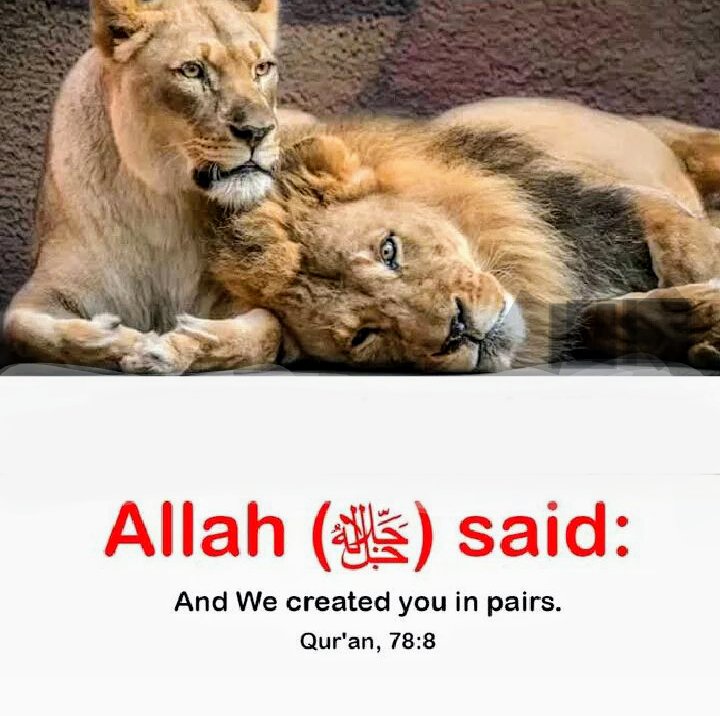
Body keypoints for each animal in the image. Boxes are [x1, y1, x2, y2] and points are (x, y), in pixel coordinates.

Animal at [3, 0, 306, 374]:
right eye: (192, 70)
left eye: (262, 68)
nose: (258, 131)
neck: (162, 199)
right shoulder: (39, 293)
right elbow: (25, 330)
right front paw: (120, 339)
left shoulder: (247, 299)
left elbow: (265, 331)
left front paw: (175, 346)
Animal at [209, 98, 720, 373]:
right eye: (364, 336)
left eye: (388, 250)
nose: (458, 330)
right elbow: (602, 320)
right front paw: (691, 322)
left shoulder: (594, 205)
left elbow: (680, 238)